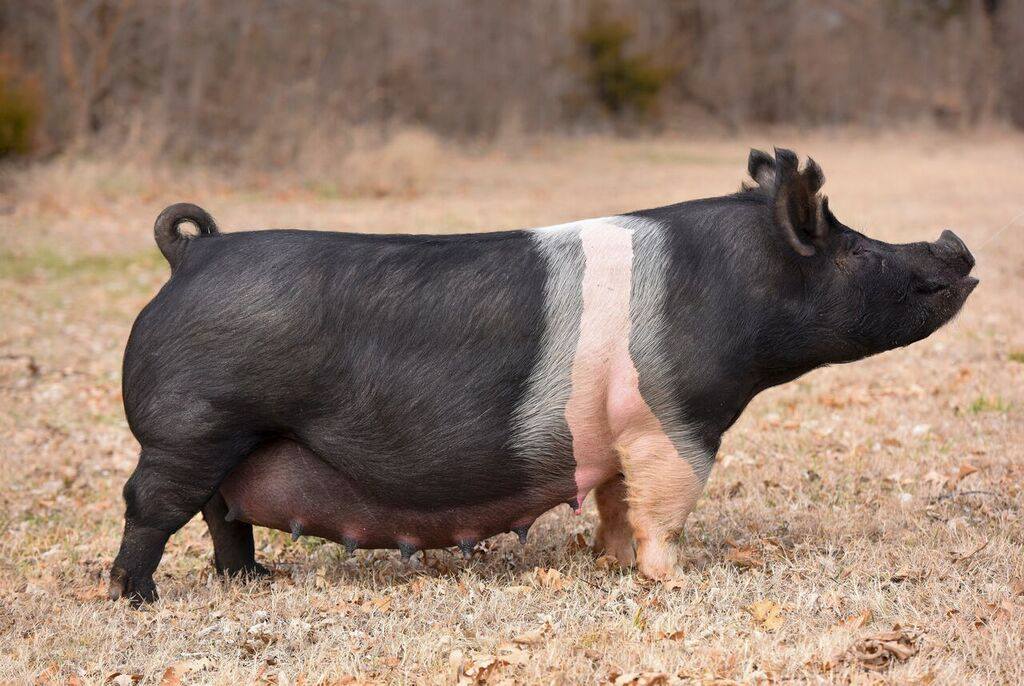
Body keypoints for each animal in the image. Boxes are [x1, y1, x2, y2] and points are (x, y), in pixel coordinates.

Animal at [109, 149, 977, 602]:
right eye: (855, 250)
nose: (957, 247)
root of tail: (192, 253)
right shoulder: (677, 419)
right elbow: (666, 506)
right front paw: (674, 581)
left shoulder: (624, 431)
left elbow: (619, 503)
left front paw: (611, 564)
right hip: (192, 425)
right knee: (152, 506)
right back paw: (136, 594)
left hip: (230, 440)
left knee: (222, 513)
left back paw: (254, 579)